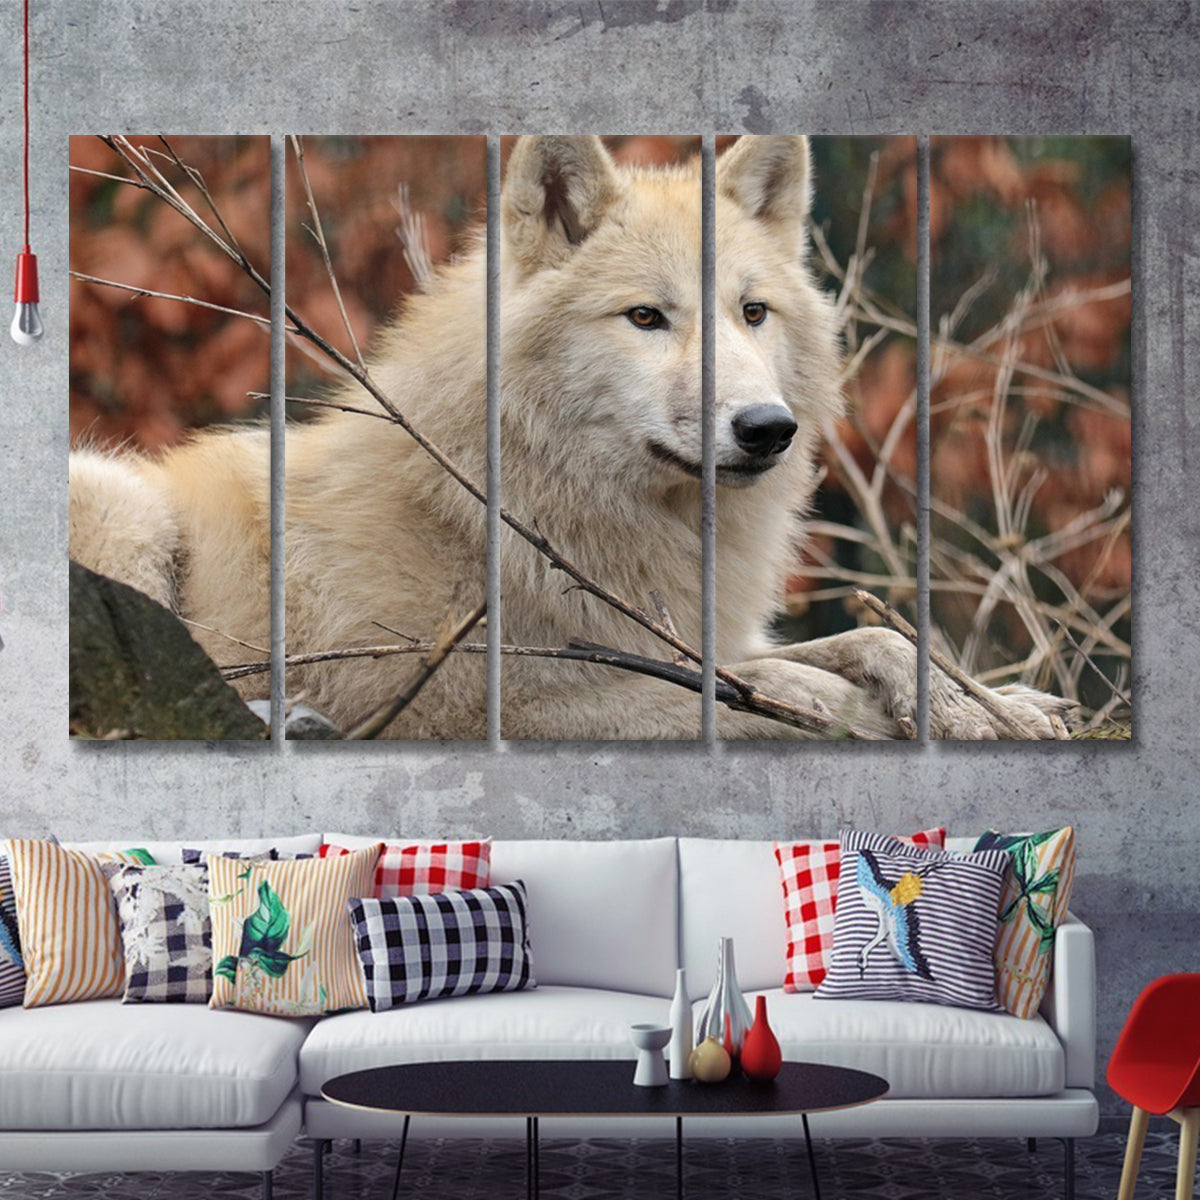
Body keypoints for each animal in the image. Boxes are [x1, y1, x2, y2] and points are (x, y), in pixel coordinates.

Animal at [70, 134, 1072, 739]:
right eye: (646, 317)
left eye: (752, 312)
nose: (768, 429)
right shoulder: (482, 698)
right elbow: (772, 692)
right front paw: (857, 709)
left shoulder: (683, 636)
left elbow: (865, 642)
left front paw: (993, 708)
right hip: (124, 511)